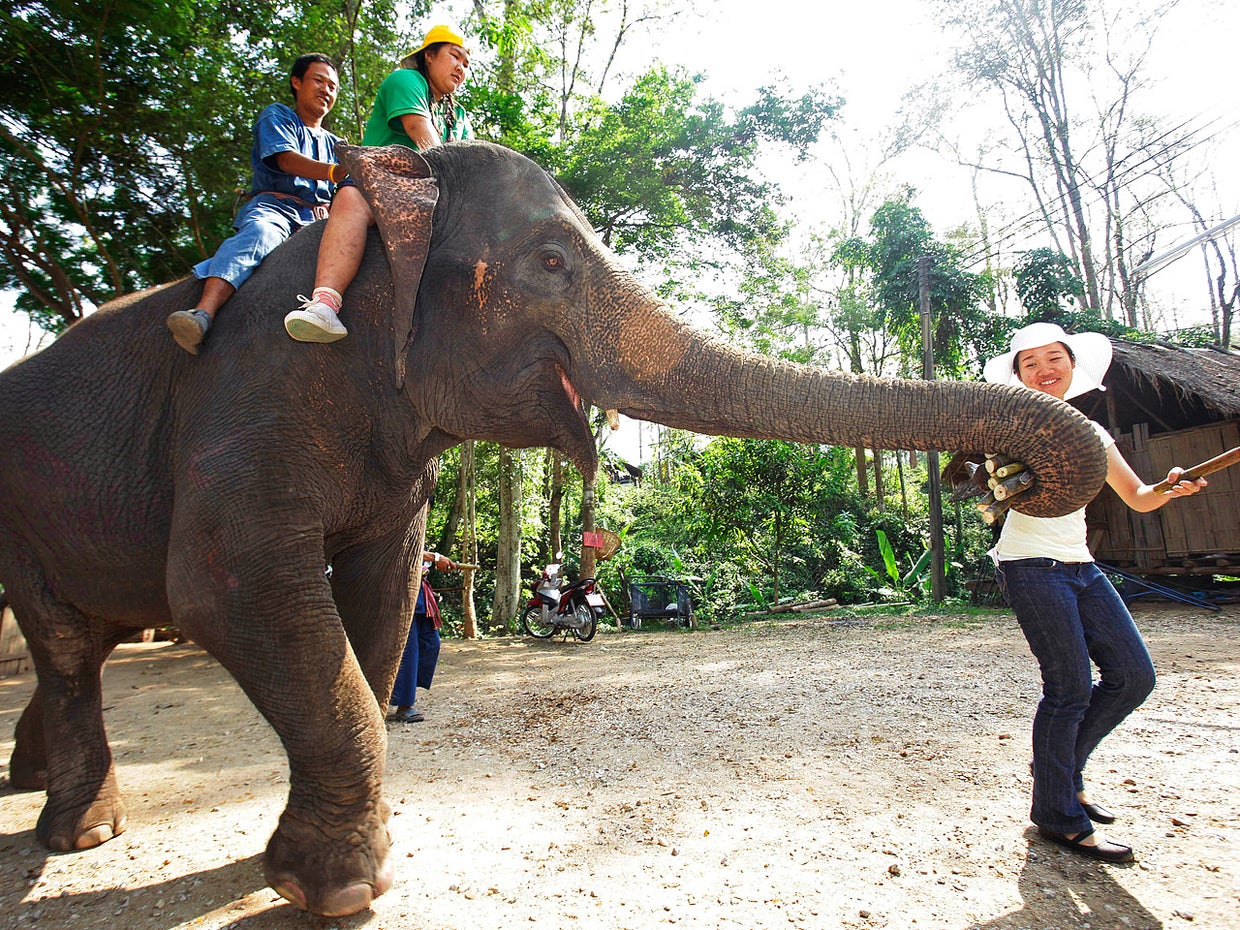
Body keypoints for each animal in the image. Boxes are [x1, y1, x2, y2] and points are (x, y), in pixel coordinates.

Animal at [0, 140, 1108, 917]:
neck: (368, 224)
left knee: (84, 644)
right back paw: (81, 835)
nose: (998, 473)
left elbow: (380, 603)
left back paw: (39, 787)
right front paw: (340, 892)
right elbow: (224, 588)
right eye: (548, 260)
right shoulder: (256, 391)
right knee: (65, 642)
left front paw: (329, 866)